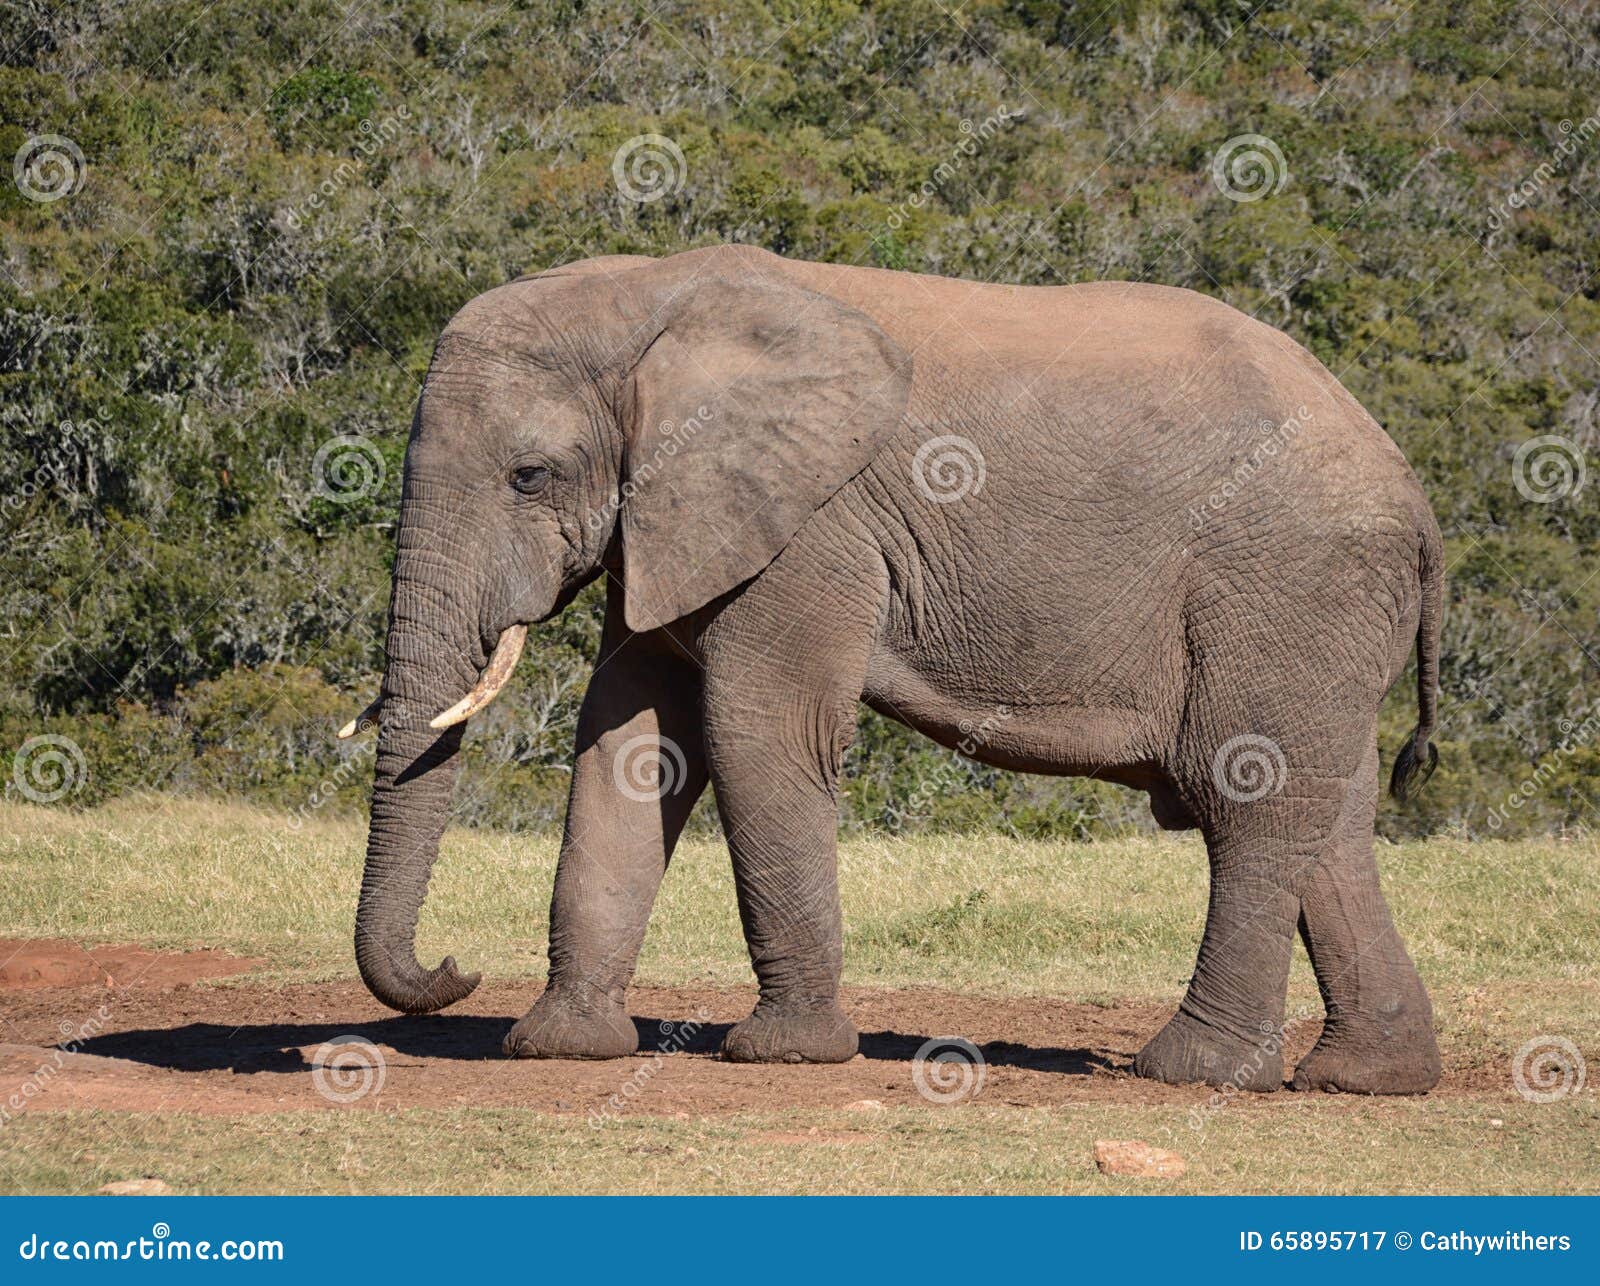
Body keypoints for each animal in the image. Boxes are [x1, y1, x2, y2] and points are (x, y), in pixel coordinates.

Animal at [340, 243, 1444, 1095]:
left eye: (529, 475)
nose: (453, 964)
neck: (648, 293)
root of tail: (1415, 492)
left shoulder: (813, 528)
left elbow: (758, 731)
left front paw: (785, 1054)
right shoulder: (676, 519)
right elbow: (631, 735)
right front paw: (559, 1047)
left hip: (1285, 583)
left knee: (1248, 795)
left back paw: (1191, 1071)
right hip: (1322, 612)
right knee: (1330, 820)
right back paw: (1366, 1077)